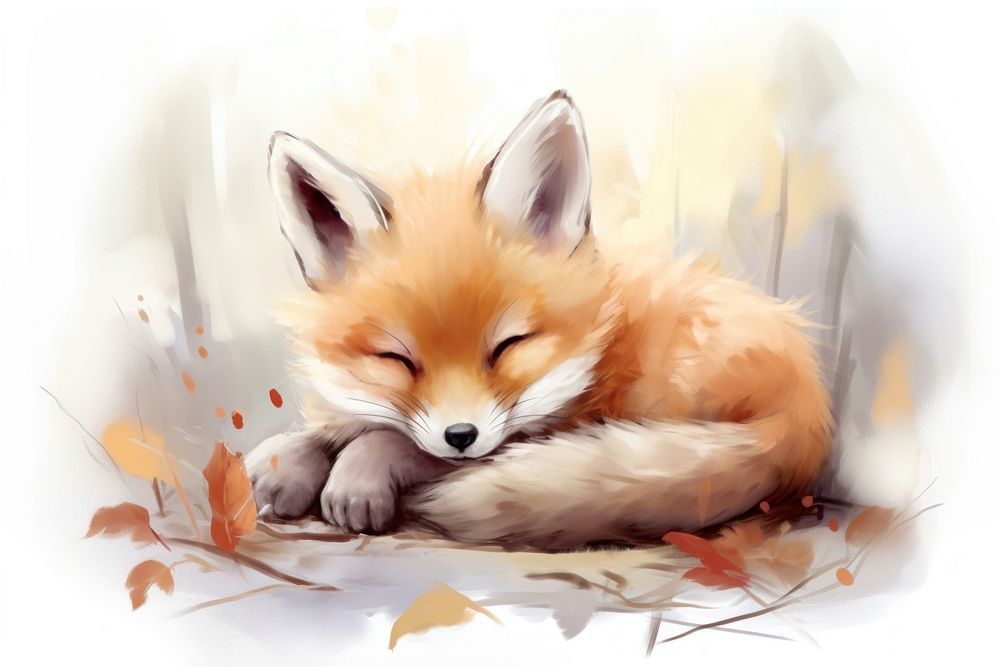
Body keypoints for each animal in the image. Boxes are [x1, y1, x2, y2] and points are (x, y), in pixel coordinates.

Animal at [246, 90, 832, 550]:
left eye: (508, 345)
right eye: (397, 358)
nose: (461, 435)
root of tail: (805, 413)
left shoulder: (543, 425)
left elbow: (389, 442)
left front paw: (356, 473)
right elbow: (339, 430)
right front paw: (284, 463)